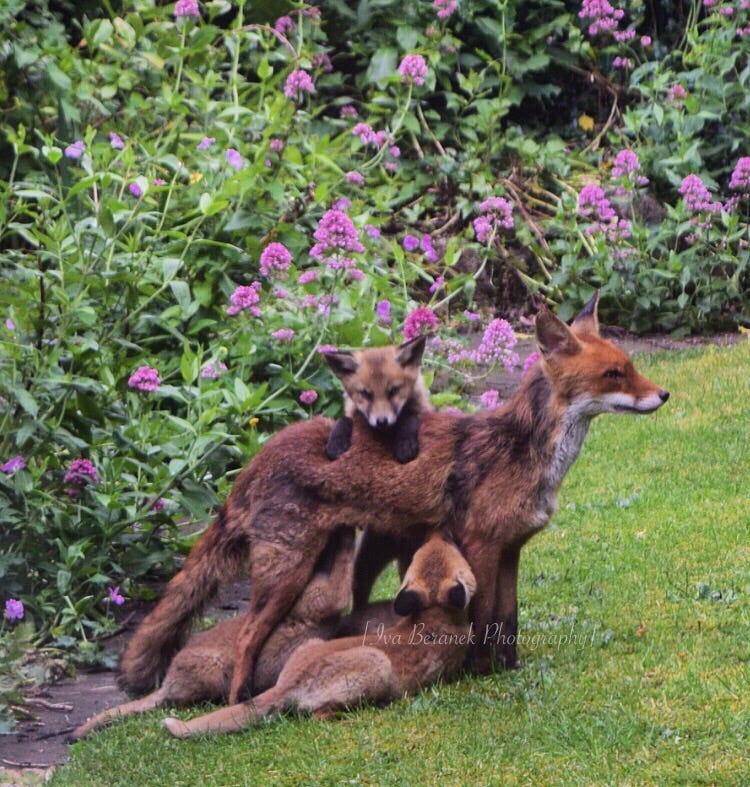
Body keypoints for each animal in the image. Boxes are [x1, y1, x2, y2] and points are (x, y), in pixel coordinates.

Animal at [162, 533, 476, 738]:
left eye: (431, 547)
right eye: (451, 547)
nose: (440, 532)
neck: (432, 616)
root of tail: (286, 684)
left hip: (310, 645)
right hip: (375, 664)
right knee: (316, 716)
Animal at [323, 334, 432, 465]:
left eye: (394, 390)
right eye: (365, 394)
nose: (382, 422)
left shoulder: (424, 409)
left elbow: (410, 418)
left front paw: (405, 444)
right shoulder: (352, 411)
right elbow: (343, 419)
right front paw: (336, 442)